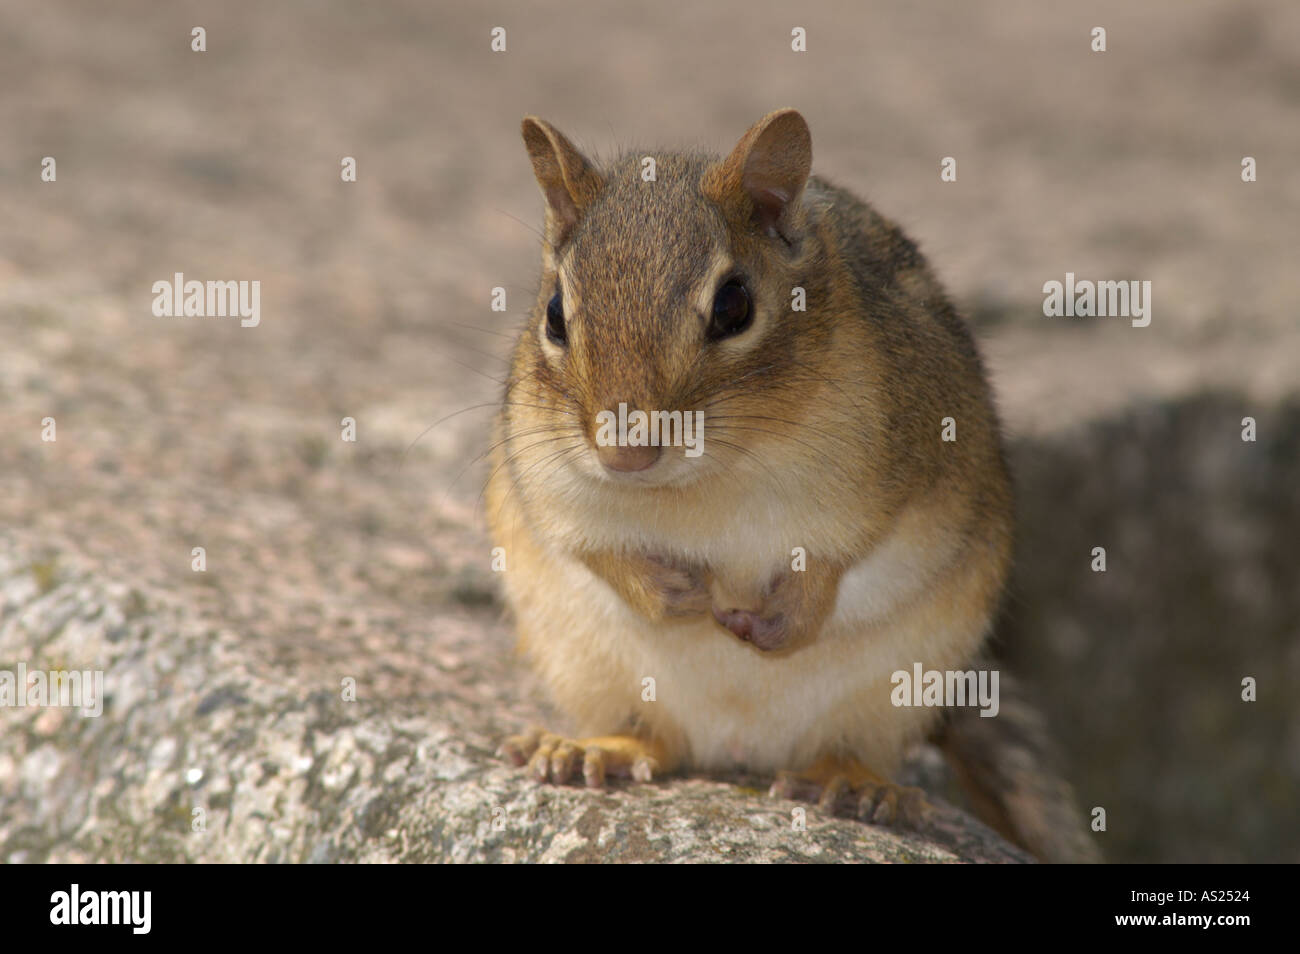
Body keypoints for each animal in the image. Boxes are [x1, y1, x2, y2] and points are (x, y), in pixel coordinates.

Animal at [487, 108, 1098, 863]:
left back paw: (852, 784)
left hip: (898, 691)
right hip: (590, 668)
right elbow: (593, 548)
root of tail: (738, 752)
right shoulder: (548, 487)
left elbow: (844, 557)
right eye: (552, 313)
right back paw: (591, 750)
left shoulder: (908, 478)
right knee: (652, 739)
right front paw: (673, 593)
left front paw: (783, 616)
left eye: (734, 306)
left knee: (847, 745)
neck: (707, 480)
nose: (624, 454)